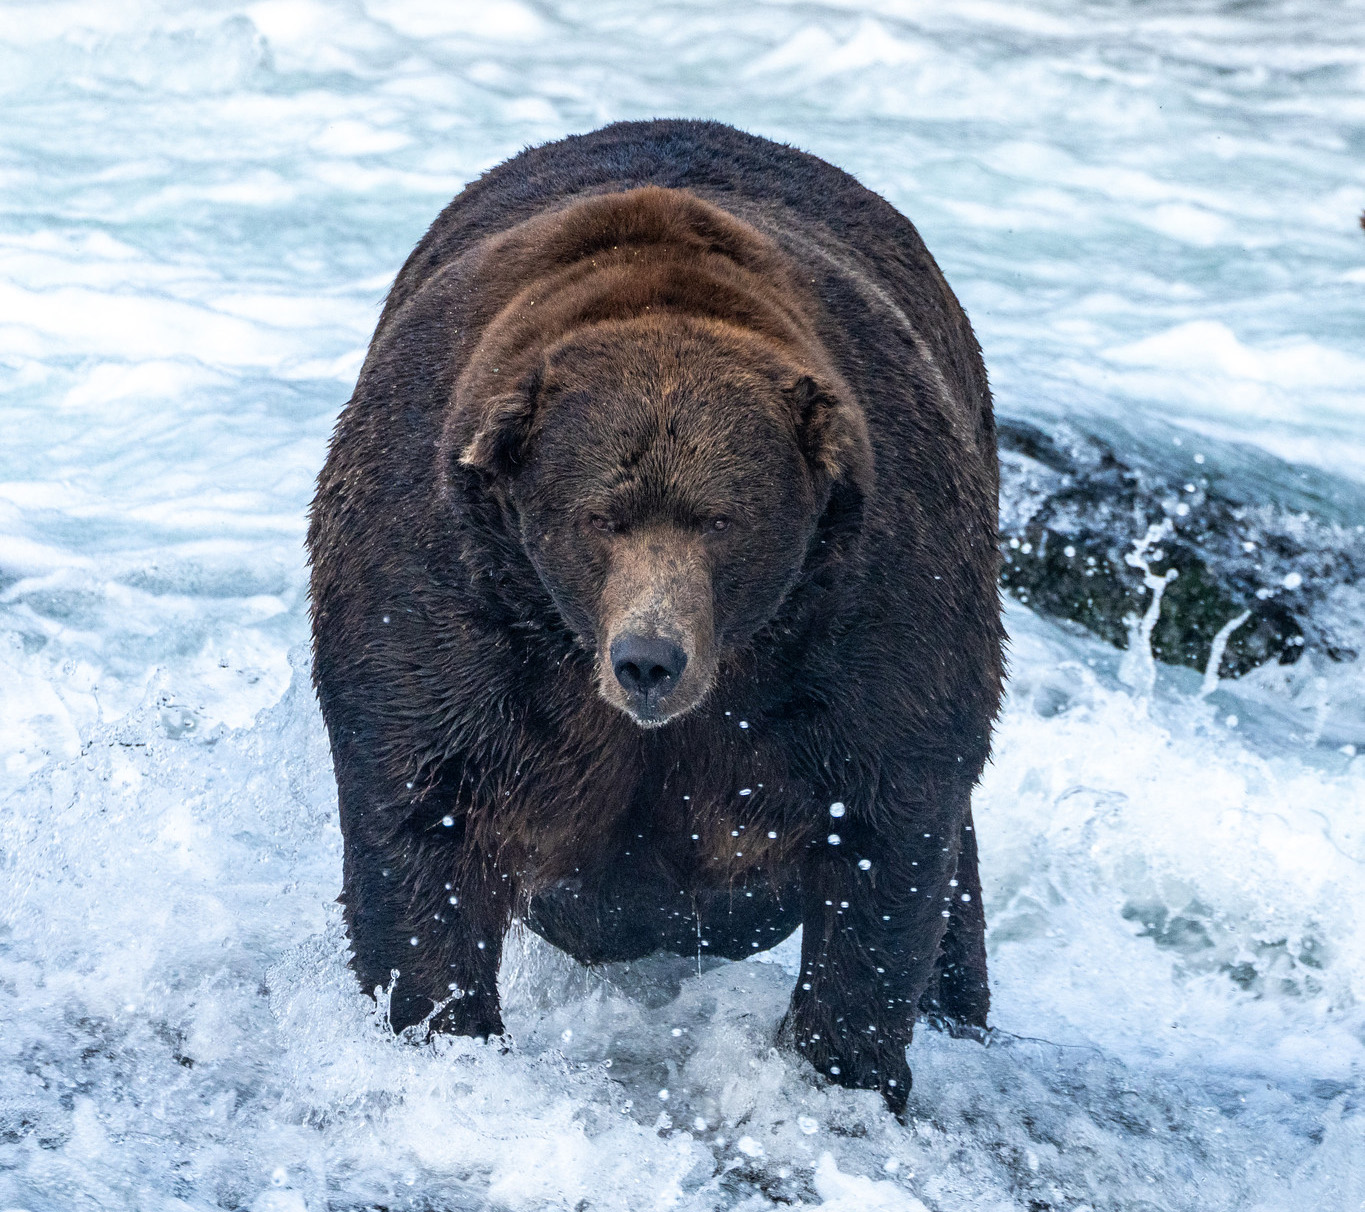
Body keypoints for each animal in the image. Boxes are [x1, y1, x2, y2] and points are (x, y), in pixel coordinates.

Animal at [308, 119, 1003, 1113]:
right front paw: (444, 1023)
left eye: (721, 519)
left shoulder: (873, 600)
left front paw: (844, 1066)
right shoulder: (446, 587)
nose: (648, 658)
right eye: (600, 517)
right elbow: (423, 812)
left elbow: (886, 831)